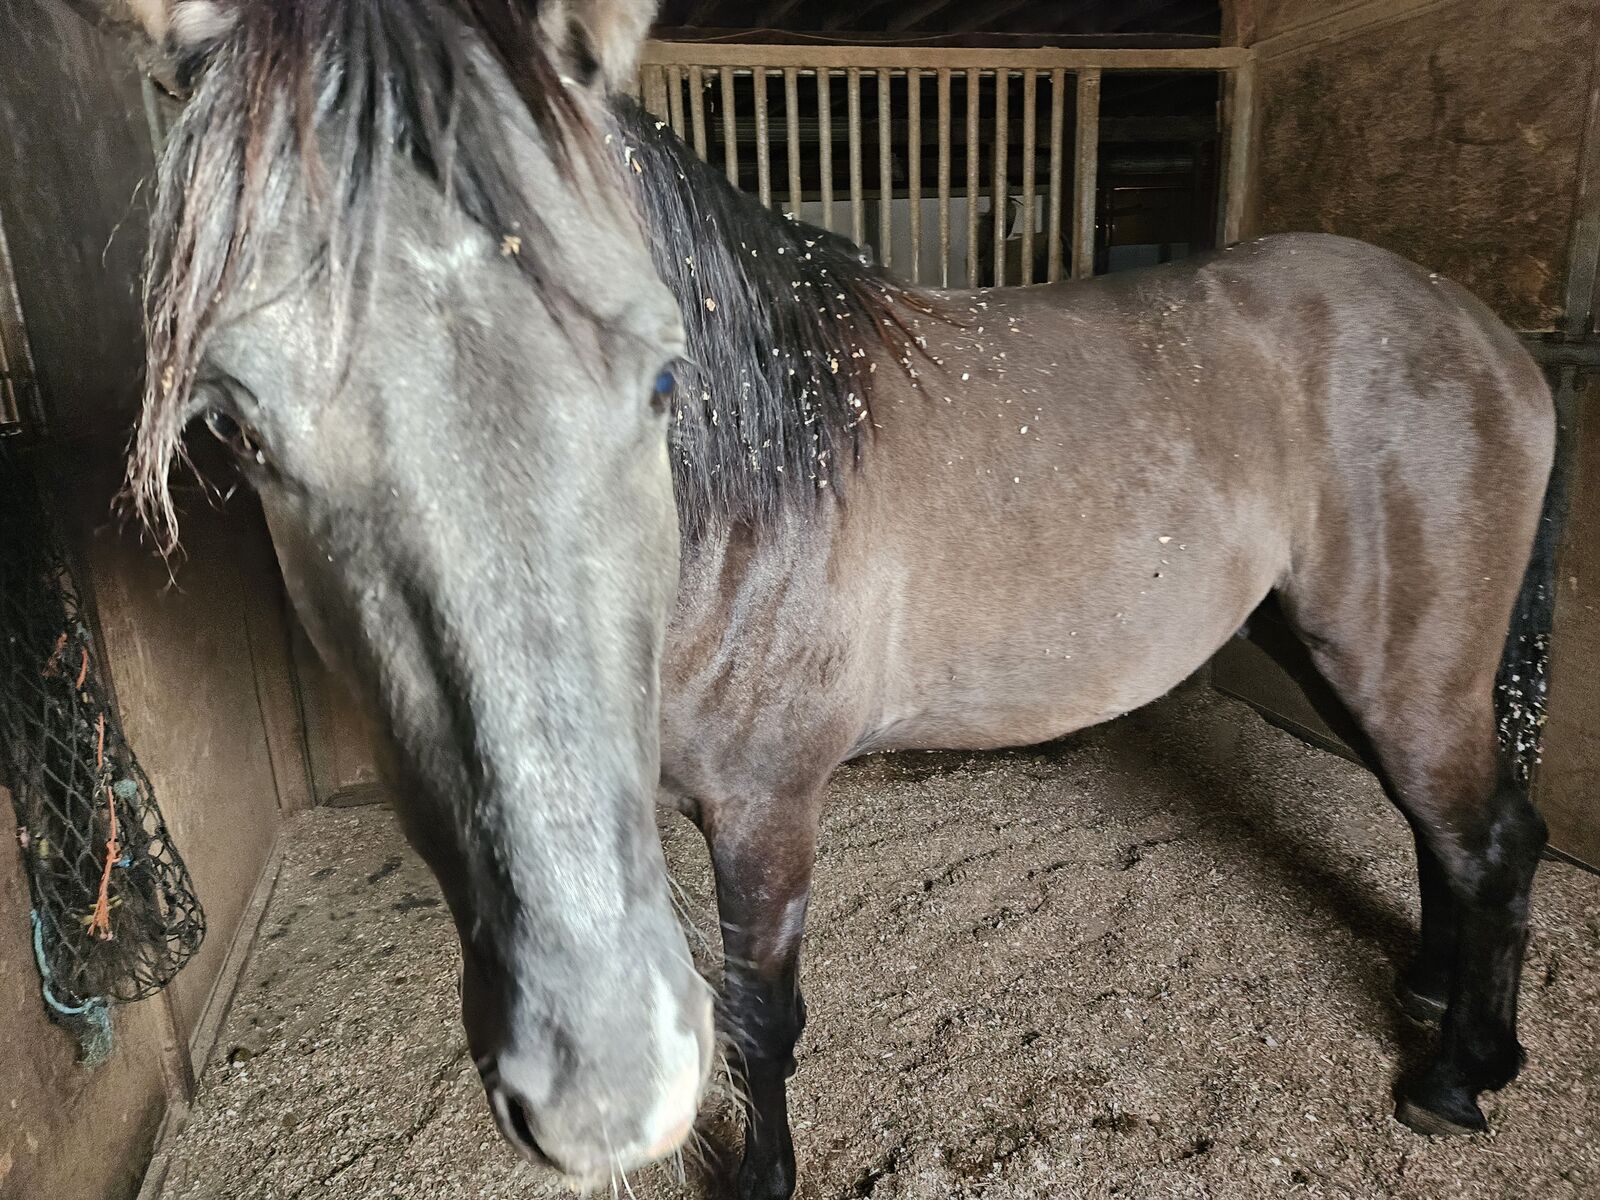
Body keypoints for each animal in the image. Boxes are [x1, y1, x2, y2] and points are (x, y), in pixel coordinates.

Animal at [79, 2, 1555, 1197]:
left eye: (657, 371)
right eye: (235, 424)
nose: (591, 1084)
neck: (756, 490)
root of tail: (1485, 337)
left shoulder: (767, 807)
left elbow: (758, 1018)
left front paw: (758, 1173)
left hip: (1399, 662)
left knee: (1485, 838)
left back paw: (1456, 1075)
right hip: (1326, 650)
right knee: (1443, 830)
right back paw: (1432, 995)